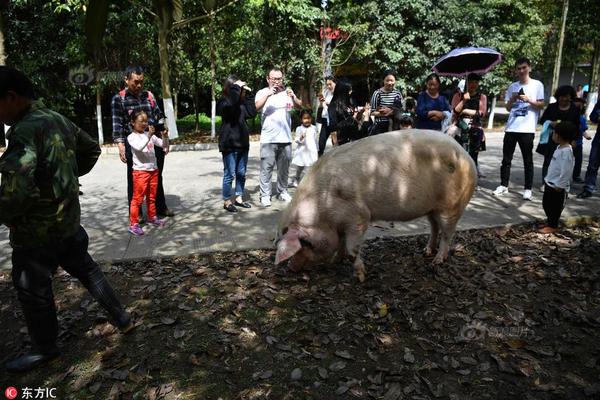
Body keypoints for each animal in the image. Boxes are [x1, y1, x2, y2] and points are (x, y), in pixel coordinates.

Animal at [274, 128, 476, 282]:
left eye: (305, 243)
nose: (291, 268)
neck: (320, 208)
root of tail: (467, 156)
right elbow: (341, 243)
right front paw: (335, 261)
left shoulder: (358, 217)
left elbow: (352, 249)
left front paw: (361, 277)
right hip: (431, 208)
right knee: (434, 227)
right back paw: (426, 252)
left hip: (452, 206)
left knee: (447, 233)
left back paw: (437, 261)